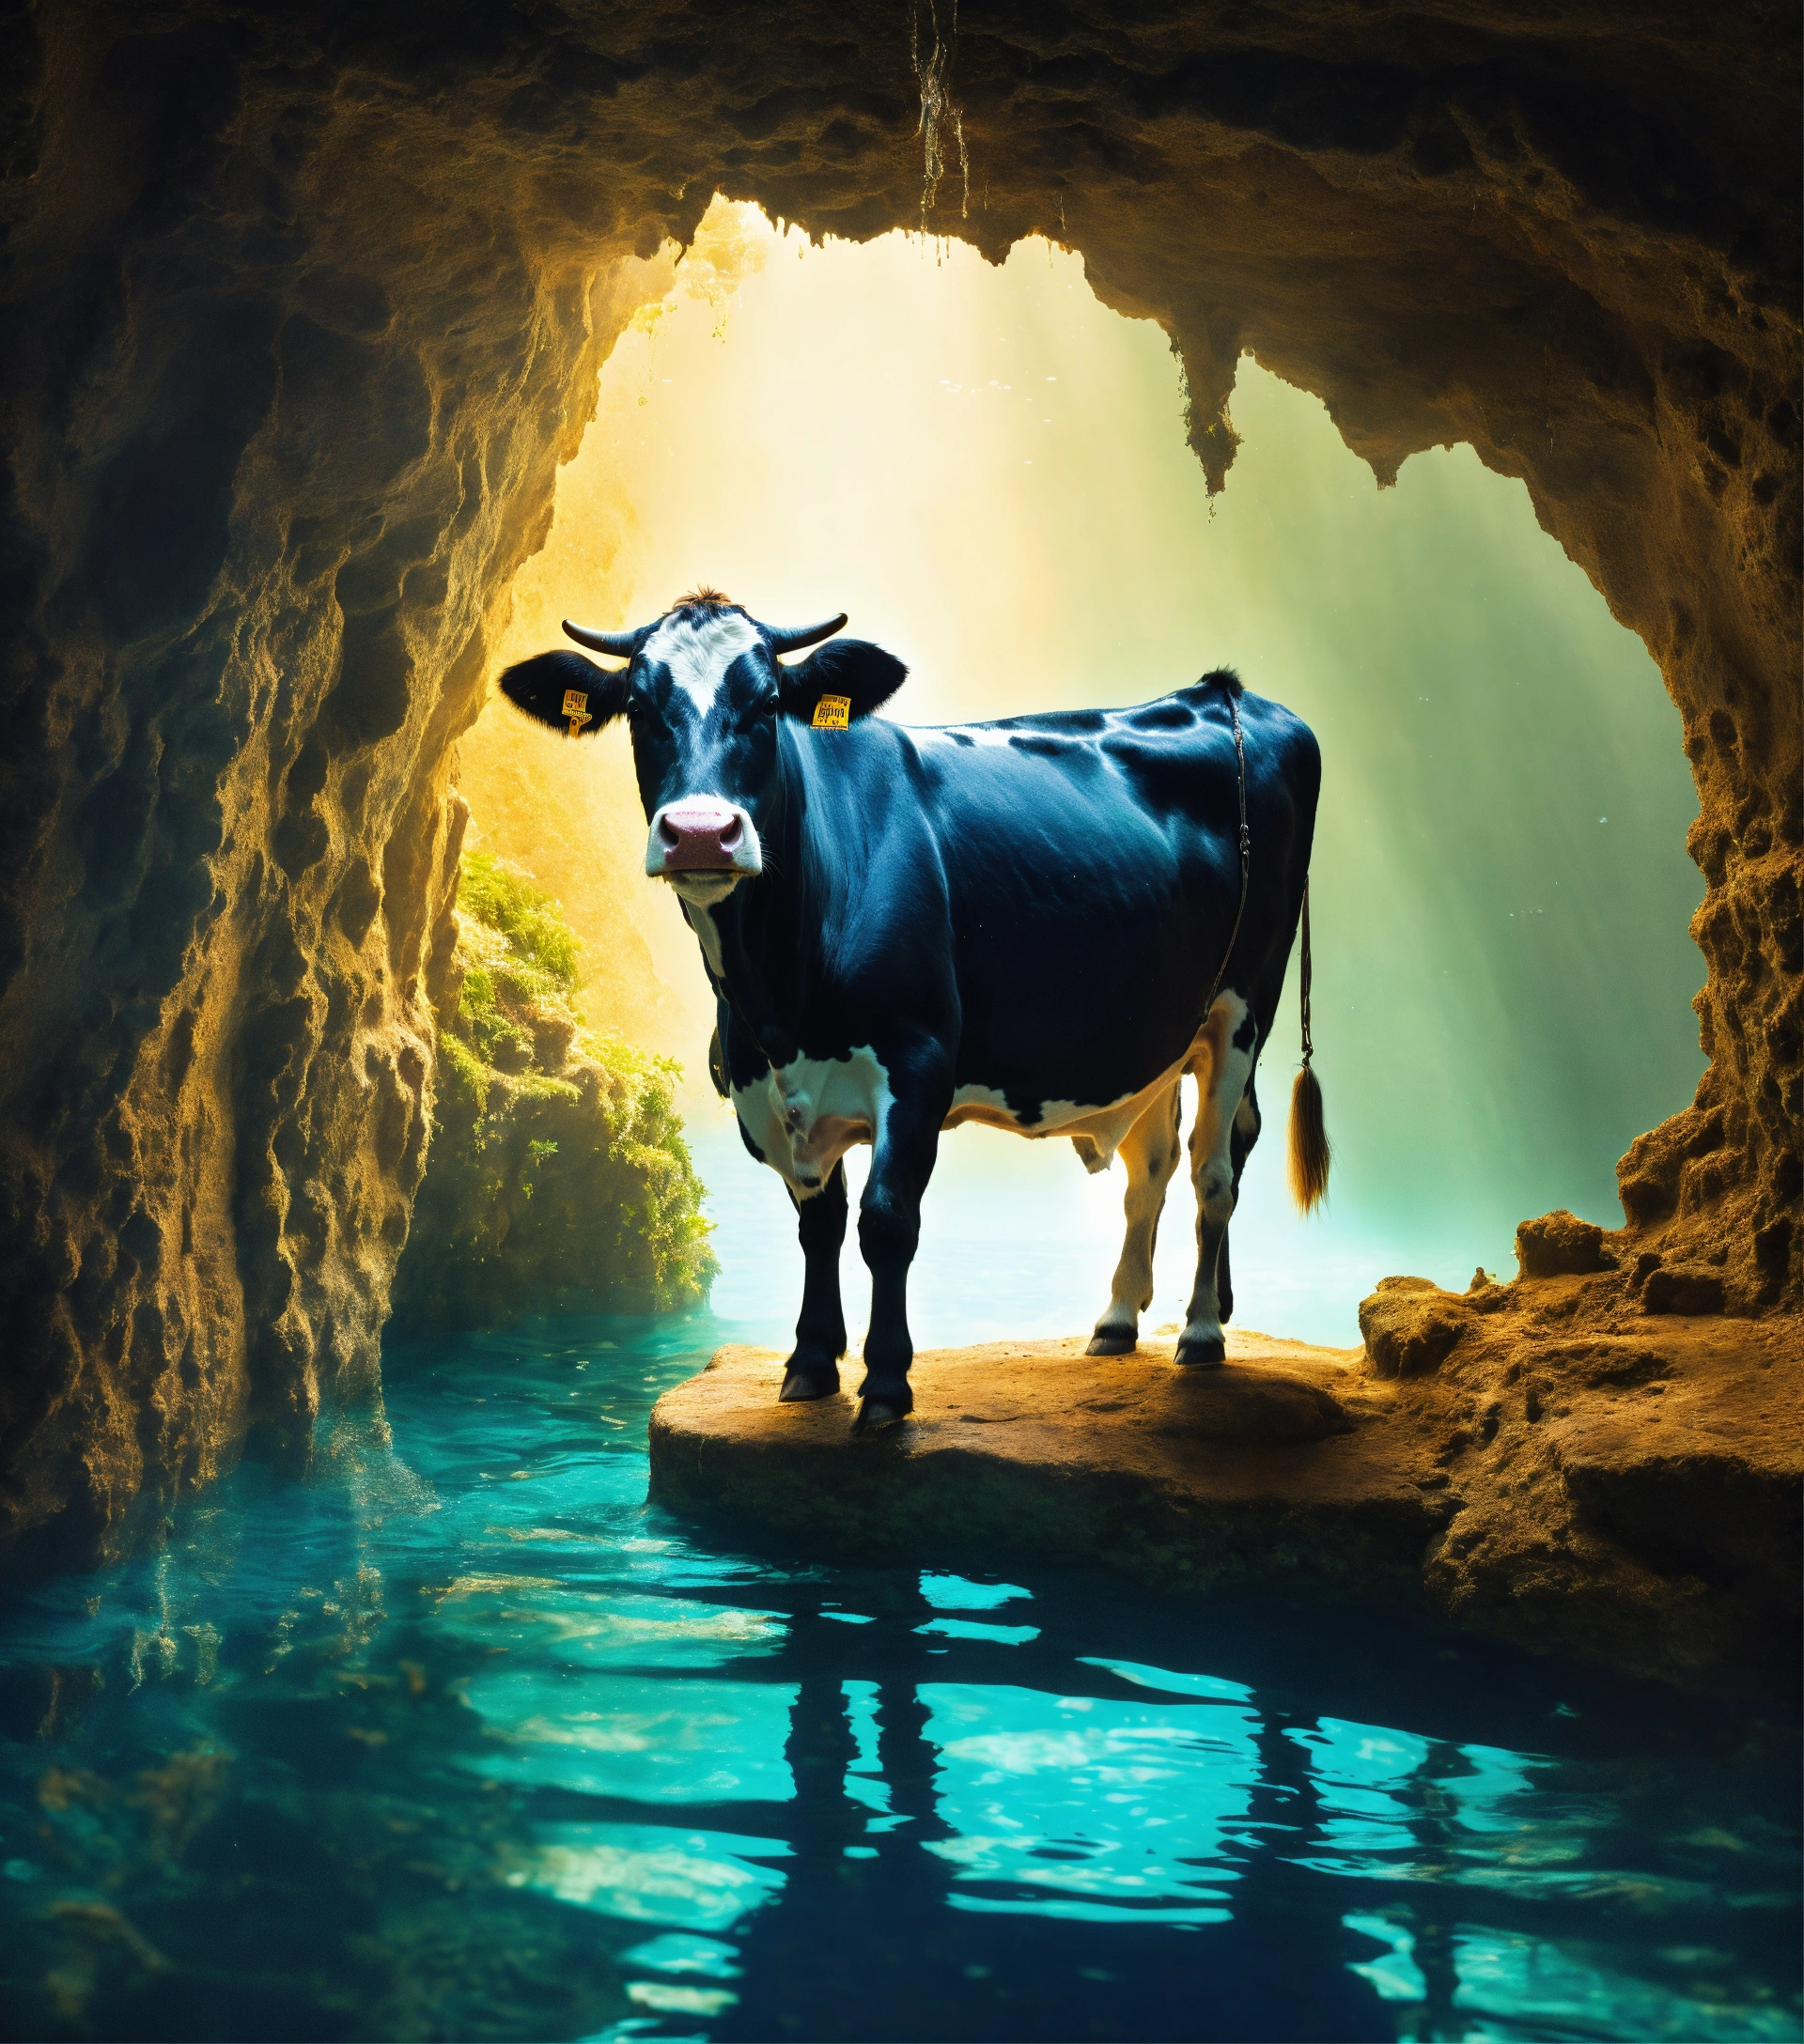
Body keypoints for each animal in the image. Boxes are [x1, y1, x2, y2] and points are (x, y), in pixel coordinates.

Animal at [497, 589, 1328, 1429]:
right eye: (638, 708)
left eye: (768, 705)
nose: (701, 834)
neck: (779, 1001)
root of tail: (1224, 691)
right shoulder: (758, 1085)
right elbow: (819, 1225)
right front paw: (810, 1363)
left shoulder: (919, 1064)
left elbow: (886, 1221)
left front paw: (887, 1383)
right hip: (1156, 1030)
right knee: (1151, 1166)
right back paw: (1119, 1321)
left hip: (1243, 1008)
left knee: (1213, 1169)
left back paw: (1201, 1331)